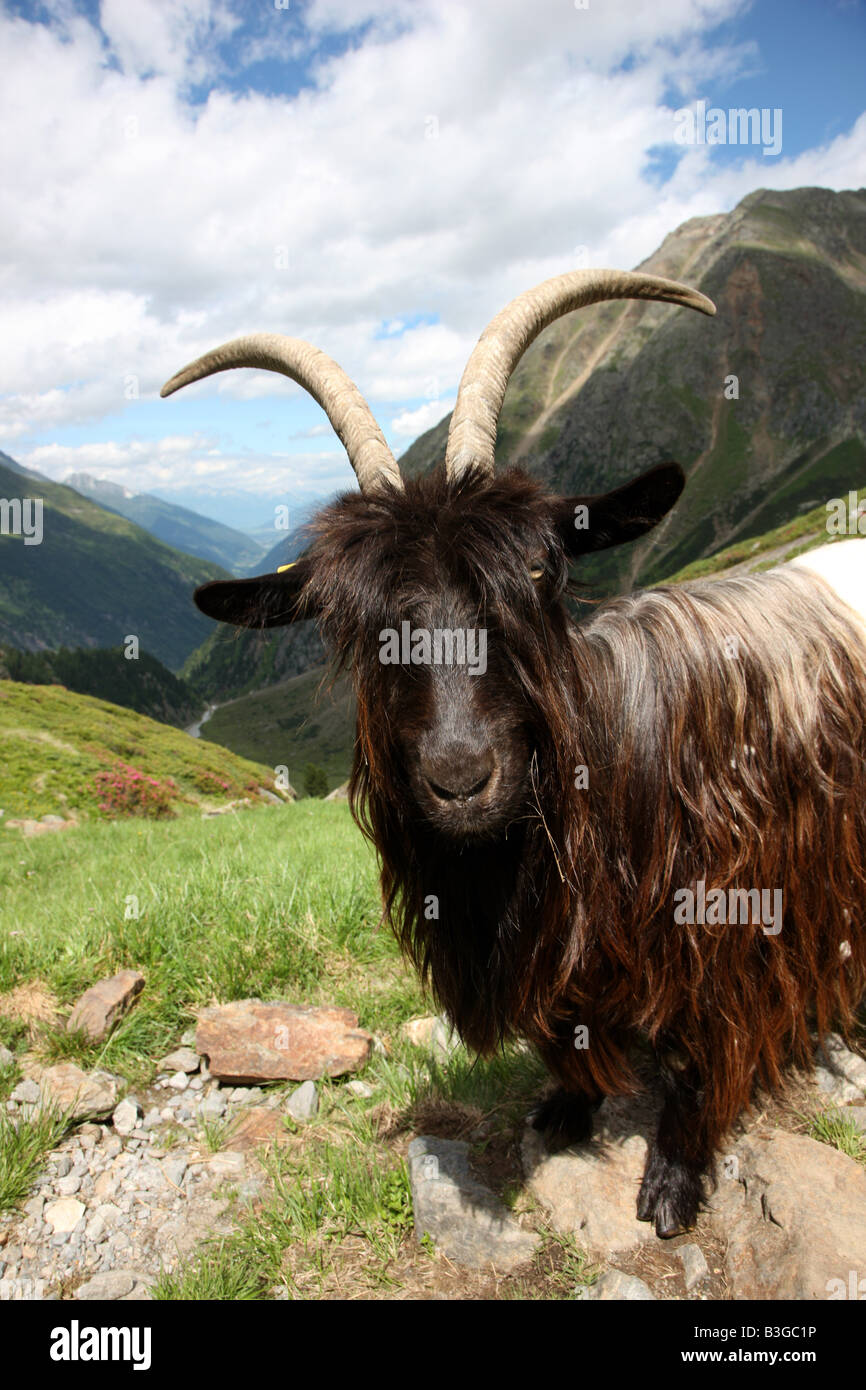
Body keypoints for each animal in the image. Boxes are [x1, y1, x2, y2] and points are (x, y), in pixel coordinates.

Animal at [161, 269, 866, 1237]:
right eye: (352, 620)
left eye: (535, 575)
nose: (462, 778)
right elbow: (562, 1029)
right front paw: (565, 1108)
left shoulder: (732, 907)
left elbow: (697, 1057)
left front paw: (673, 1184)